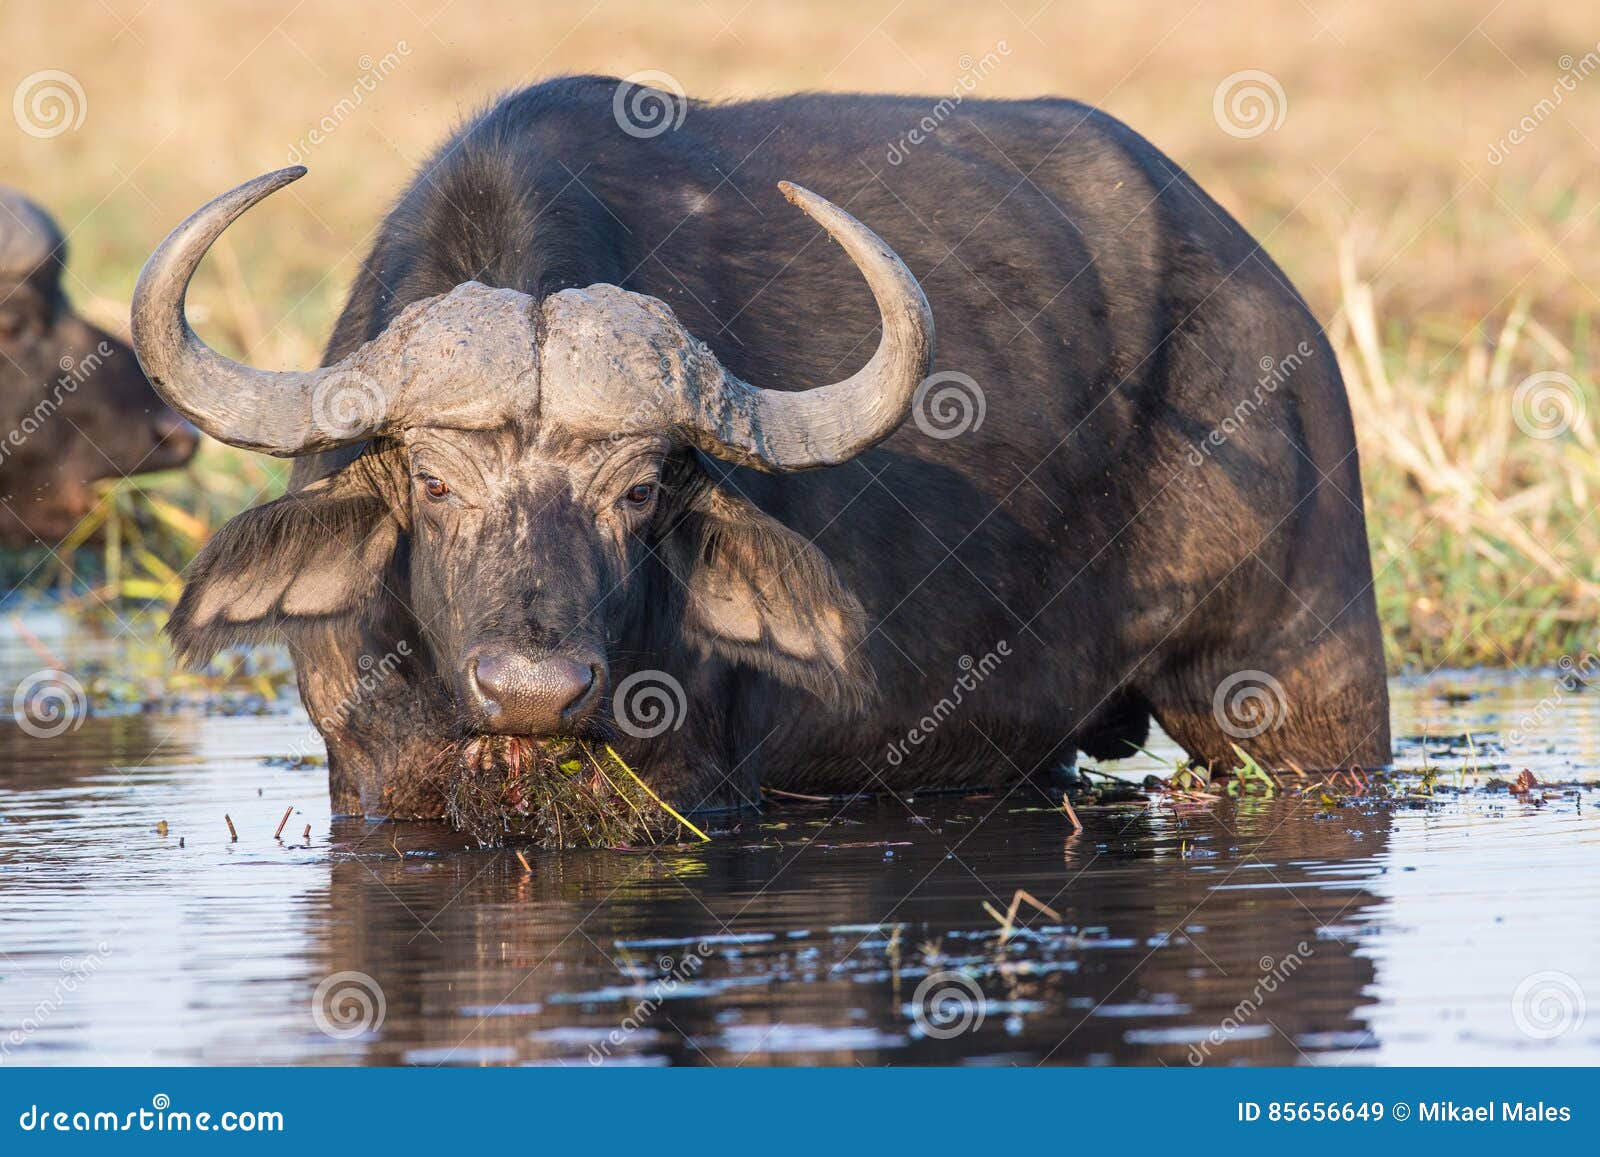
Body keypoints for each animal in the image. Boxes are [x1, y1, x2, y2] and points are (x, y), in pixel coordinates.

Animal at [133, 77, 1390, 827]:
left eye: (640, 491)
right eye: (434, 483)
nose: (536, 686)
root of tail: (1269, 309)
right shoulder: (372, 784)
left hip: (1306, 693)